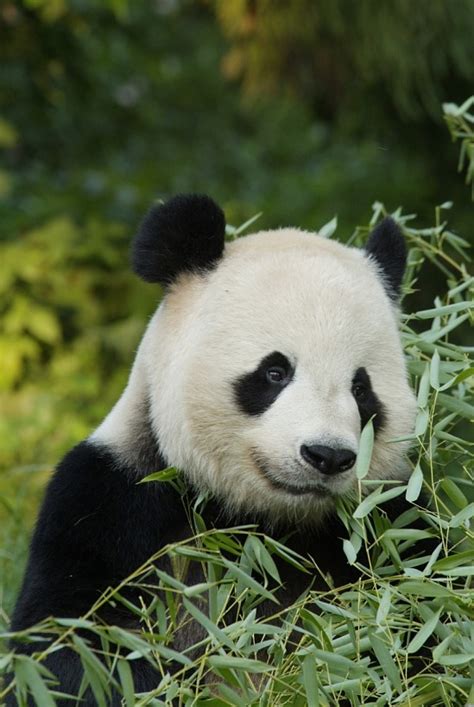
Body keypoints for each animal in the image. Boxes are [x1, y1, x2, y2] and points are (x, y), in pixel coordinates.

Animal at [9, 194, 423, 704]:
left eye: (361, 390)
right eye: (274, 372)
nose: (326, 456)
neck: (264, 523)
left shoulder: (392, 527)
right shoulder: (111, 502)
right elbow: (76, 650)